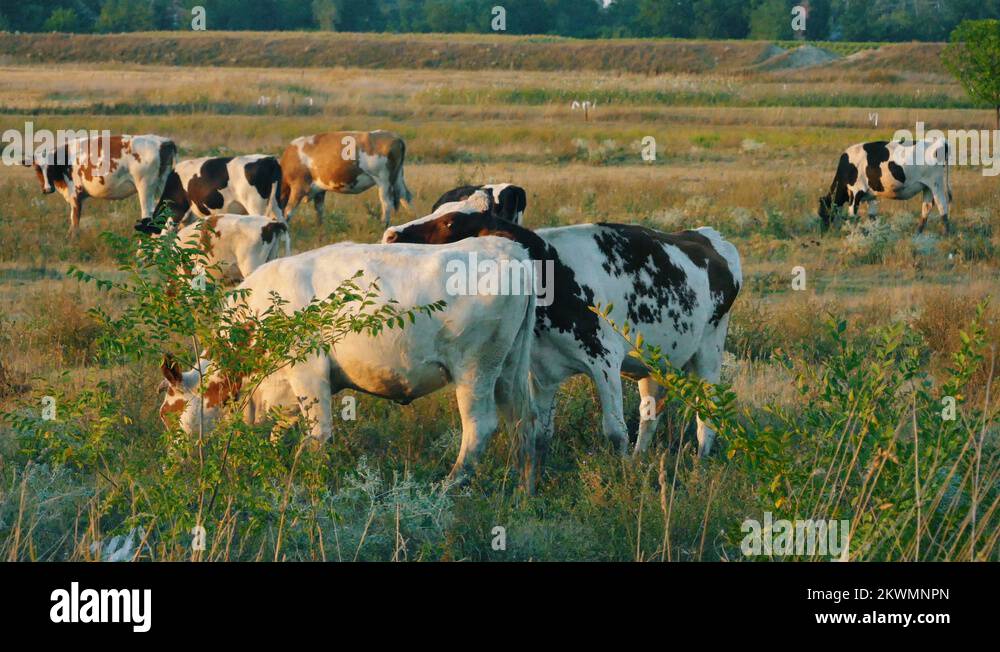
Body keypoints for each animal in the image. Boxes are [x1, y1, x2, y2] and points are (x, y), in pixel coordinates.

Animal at [26, 134, 176, 234]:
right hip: (162, 188)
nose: (47, 189)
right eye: (37, 169)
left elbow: (74, 221)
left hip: (145, 189)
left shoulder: (75, 194)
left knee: (148, 215)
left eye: (51, 168)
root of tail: (162, 141)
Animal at [158, 238, 539, 490]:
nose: (170, 464)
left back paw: (448, 485)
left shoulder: (308, 371)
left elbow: (317, 434)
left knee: (480, 428)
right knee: (523, 421)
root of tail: (508, 250)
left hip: (475, 371)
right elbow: (279, 433)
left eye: (169, 414)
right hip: (510, 369)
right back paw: (524, 489)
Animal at [279, 130, 412, 227]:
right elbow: (319, 212)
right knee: (406, 198)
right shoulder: (320, 191)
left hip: (383, 181)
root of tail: (395, 137)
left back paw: (383, 226)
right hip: (398, 178)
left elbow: (288, 212)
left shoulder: (299, 187)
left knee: (387, 204)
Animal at [382, 212, 742, 467]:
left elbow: (615, 430)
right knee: (649, 414)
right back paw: (642, 459)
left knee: (708, 412)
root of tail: (706, 236)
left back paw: (700, 462)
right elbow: (542, 432)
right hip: (654, 363)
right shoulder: (543, 371)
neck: (554, 271)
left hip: (710, 350)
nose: (391, 234)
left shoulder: (604, 360)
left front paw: (623, 474)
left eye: (450, 221)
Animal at [818, 138, 952, 234]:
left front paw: (854, 232)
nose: (825, 232)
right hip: (927, 187)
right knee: (927, 207)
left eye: (822, 212)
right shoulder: (871, 195)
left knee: (942, 205)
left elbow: (852, 214)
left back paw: (945, 233)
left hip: (936, 184)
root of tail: (940, 141)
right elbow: (872, 215)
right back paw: (918, 233)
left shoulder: (856, 191)